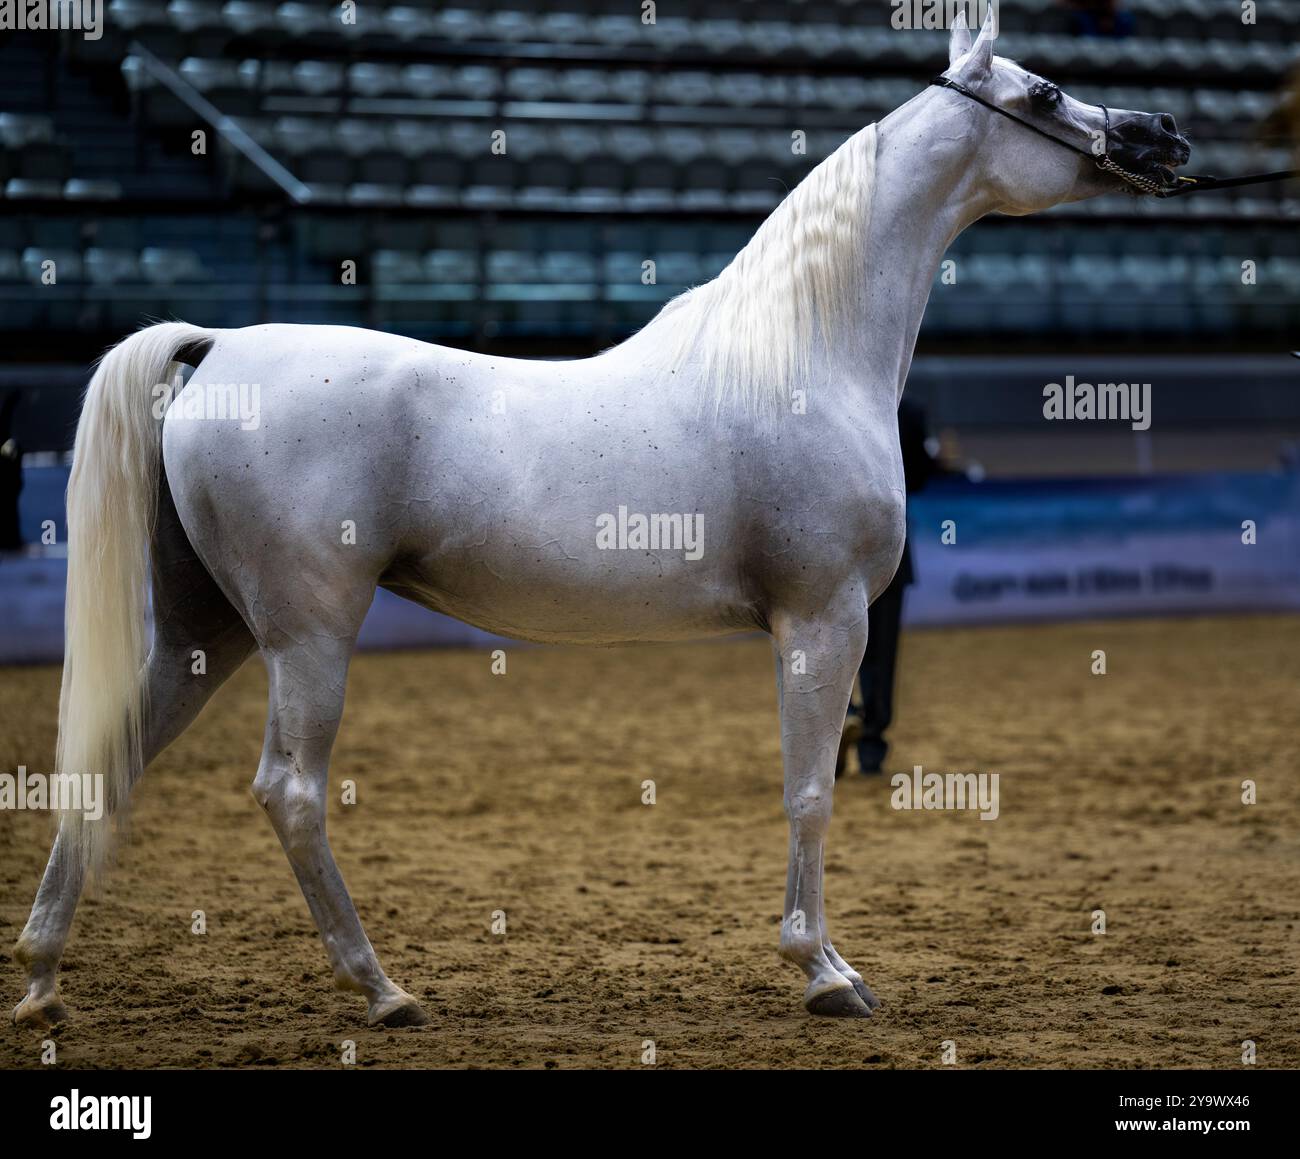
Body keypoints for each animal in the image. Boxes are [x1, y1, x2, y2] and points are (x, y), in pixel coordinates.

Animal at [13, 10, 1190, 1029]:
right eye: (1042, 92)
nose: (1165, 136)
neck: (802, 352)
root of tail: (218, 347)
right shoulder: (826, 618)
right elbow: (810, 790)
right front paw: (825, 971)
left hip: (204, 628)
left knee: (111, 757)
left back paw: (40, 978)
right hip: (307, 633)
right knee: (291, 792)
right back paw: (382, 988)